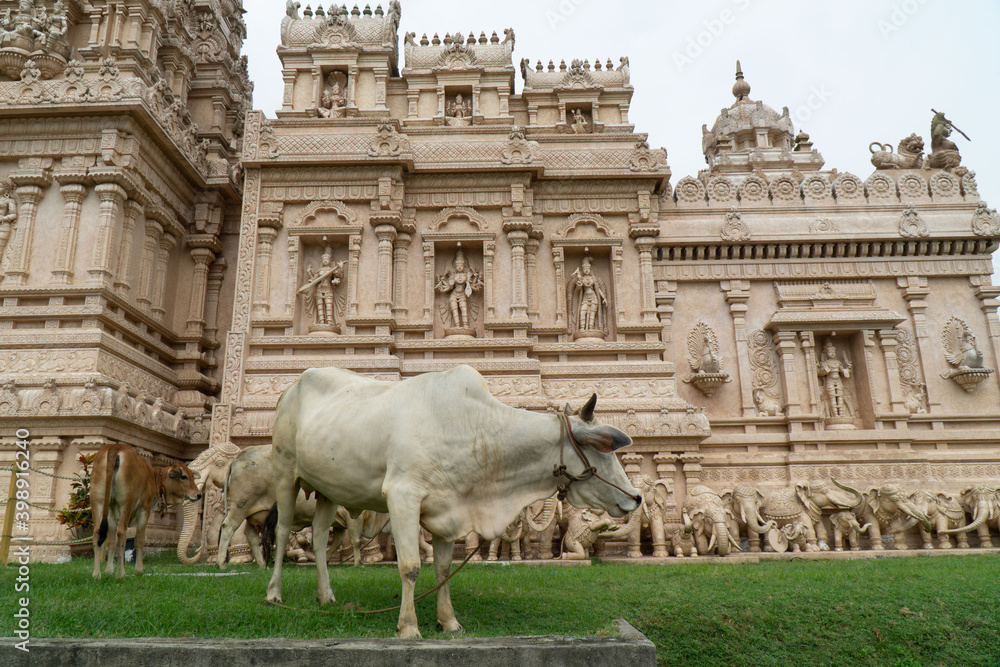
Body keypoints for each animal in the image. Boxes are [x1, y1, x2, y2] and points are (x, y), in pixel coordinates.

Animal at [90, 443, 202, 579]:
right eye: (184, 476)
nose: (198, 495)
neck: (153, 476)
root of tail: (115, 448)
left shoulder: (111, 512)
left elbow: (111, 541)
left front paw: (108, 571)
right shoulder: (144, 510)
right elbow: (139, 540)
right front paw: (139, 570)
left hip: (98, 502)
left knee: (97, 533)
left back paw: (96, 574)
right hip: (126, 504)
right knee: (121, 533)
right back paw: (121, 574)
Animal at [217, 445, 388, 567]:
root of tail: (239, 457)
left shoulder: (339, 522)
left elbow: (337, 542)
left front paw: (326, 559)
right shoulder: (352, 517)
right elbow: (356, 540)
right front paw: (359, 563)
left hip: (257, 513)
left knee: (250, 533)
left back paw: (261, 564)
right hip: (241, 506)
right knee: (228, 527)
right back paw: (221, 563)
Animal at [262, 364, 640, 638]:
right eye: (601, 449)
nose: (635, 498)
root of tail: (291, 387)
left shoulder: (449, 512)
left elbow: (443, 571)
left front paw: (449, 623)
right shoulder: (402, 496)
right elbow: (410, 566)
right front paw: (408, 626)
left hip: (327, 490)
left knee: (320, 538)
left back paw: (326, 597)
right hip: (284, 474)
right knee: (281, 532)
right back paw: (274, 595)